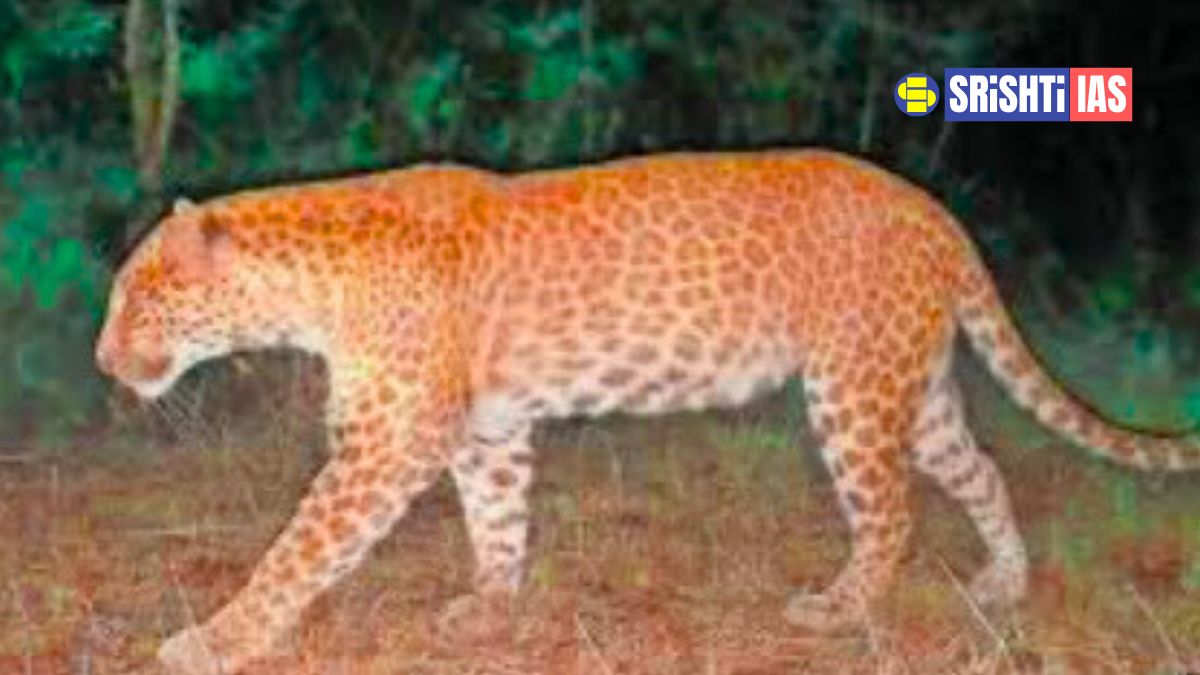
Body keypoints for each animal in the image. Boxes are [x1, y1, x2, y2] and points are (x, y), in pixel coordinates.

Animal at [95, 150, 1199, 674]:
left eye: (139, 299)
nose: (104, 363)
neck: (306, 288)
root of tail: (935, 209)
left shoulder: (385, 443)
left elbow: (295, 554)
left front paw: (211, 642)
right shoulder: (490, 427)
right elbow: (498, 520)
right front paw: (491, 608)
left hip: (850, 388)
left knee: (890, 513)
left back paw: (838, 609)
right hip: (911, 388)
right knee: (983, 470)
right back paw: (1005, 582)